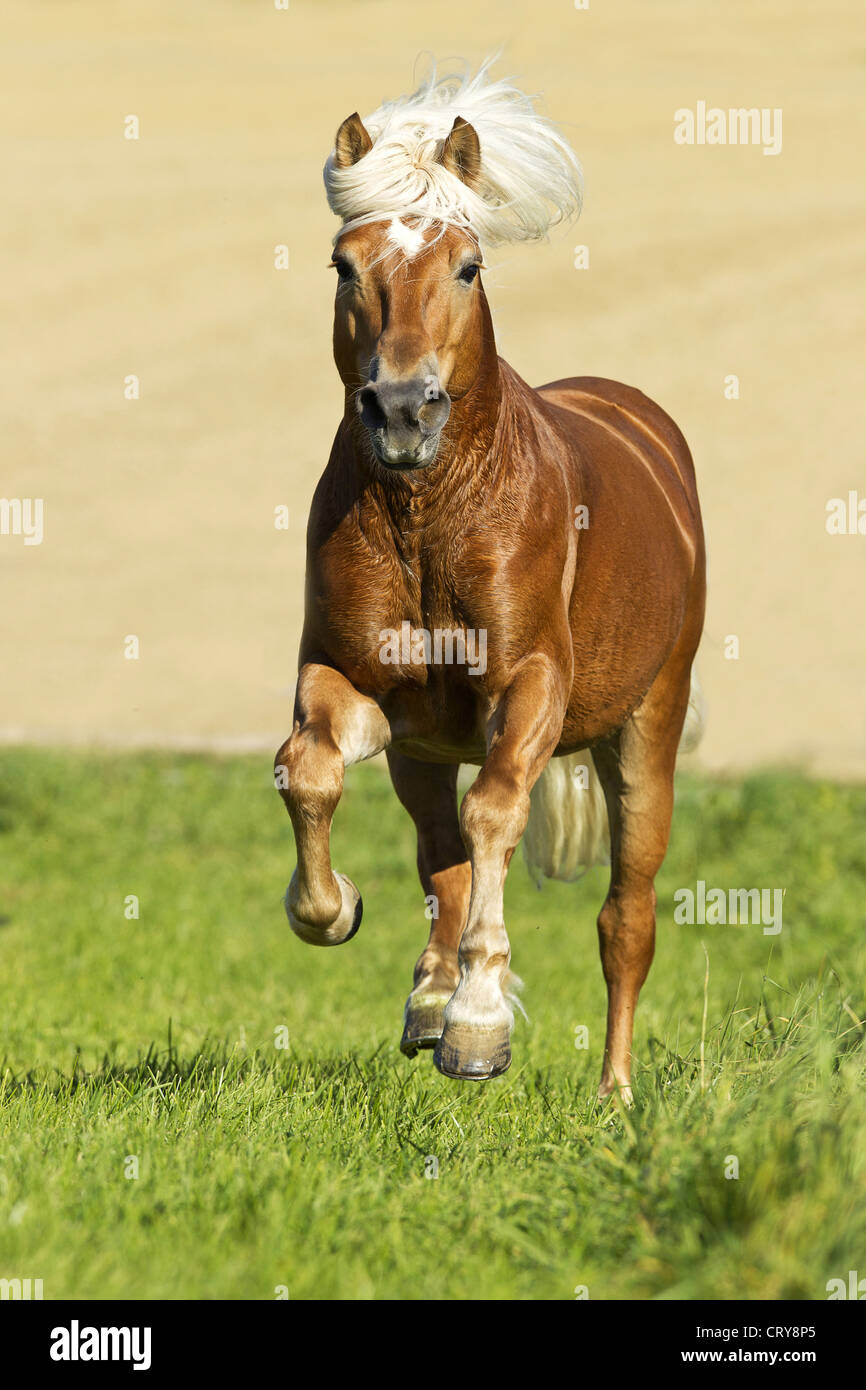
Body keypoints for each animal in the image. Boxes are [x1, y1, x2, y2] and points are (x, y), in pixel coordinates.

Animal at [274, 63, 706, 1102]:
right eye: (344, 266)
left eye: (467, 267)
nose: (400, 409)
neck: (430, 516)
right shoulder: (343, 677)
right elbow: (310, 770)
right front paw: (336, 912)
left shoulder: (533, 684)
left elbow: (496, 815)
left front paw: (479, 1027)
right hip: (426, 745)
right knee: (443, 854)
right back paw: (428, 998)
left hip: (648, 729)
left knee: (625, 918)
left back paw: (614, 1093)